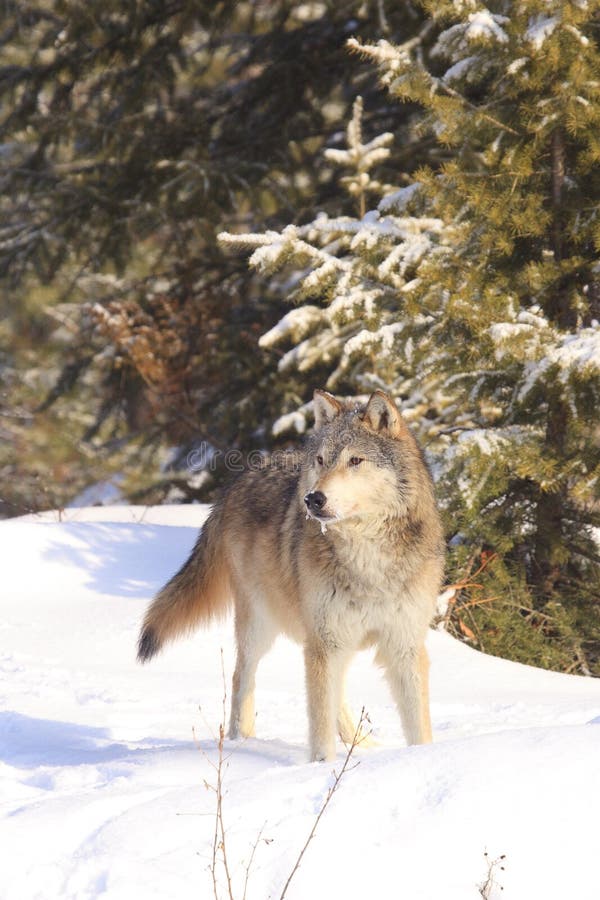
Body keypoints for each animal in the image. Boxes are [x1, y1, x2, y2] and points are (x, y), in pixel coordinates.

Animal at [138, 389, 445, 761]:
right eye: (322, 460)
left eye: (355, 461)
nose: (313, 499)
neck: (368, 559)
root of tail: (236, 481)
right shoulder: (325, 641)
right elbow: (320, 727)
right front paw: (323, 767)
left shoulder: (403, 645)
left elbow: (418, 727)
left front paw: (421, 758)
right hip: (263, 626)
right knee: (241, 678)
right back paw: (243, 741)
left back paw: (361, 743)